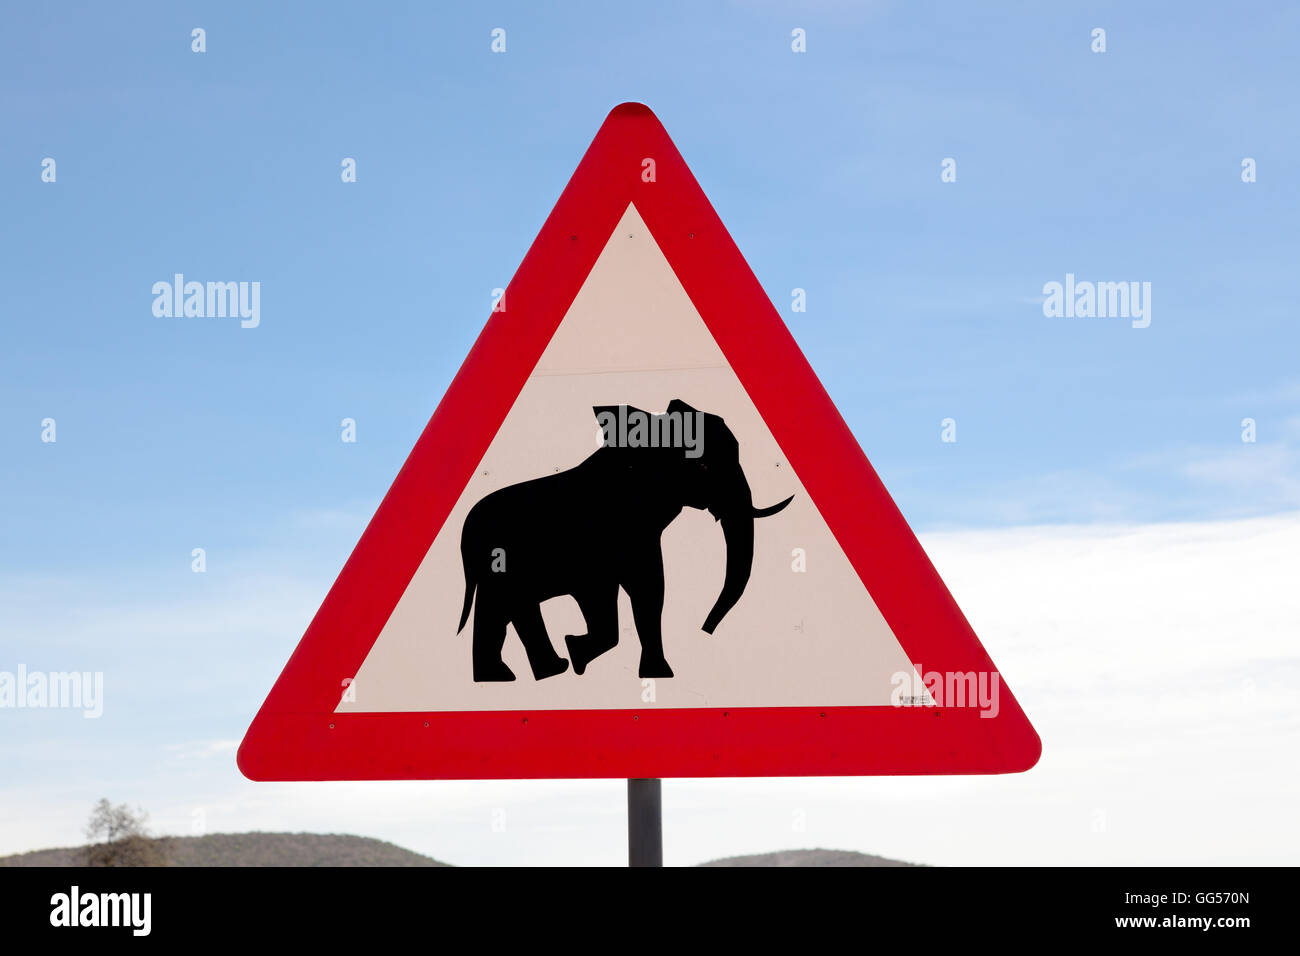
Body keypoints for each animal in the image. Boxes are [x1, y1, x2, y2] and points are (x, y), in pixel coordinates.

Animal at [455, 399, 794, 681]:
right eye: (703, 466)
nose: (705, 629)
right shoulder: (604, 537)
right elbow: (629, 591)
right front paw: (577, 652)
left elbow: (647, 590)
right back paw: (545, 670)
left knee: (497, 611)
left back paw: (505, 676)